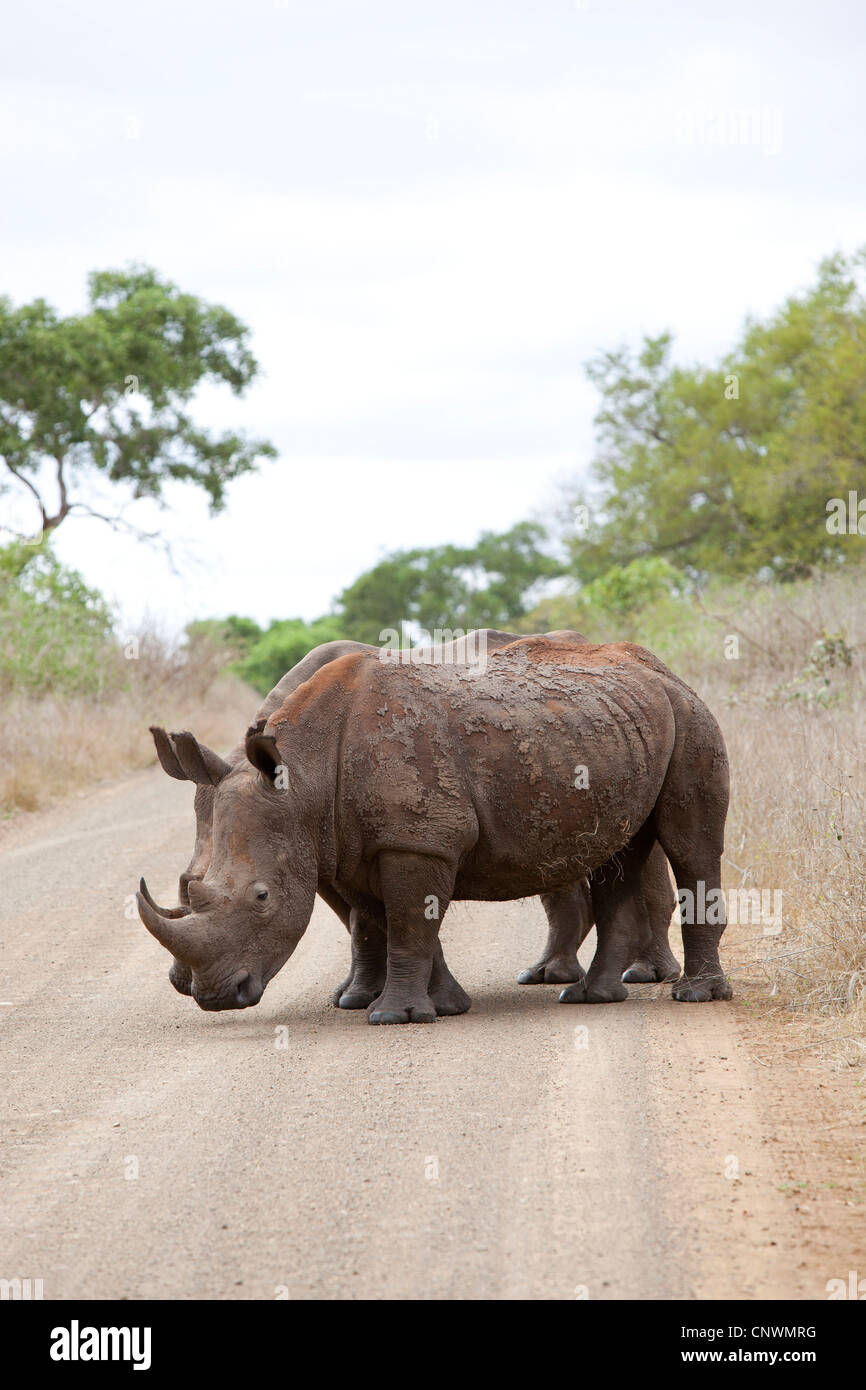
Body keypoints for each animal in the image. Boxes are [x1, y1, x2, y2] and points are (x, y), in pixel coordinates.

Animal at [137, 635, 731, 1021]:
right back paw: (591, 997)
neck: (304, 778)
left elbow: (405, 923)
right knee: (619, 853)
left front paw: (391, 1017)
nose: (214, 995)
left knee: (690, 848)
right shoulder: (359, 845)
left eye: (261, 897)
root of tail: (664, 670)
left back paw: (691, 996)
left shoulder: (417, 841)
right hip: (612, 732)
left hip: (689, 716)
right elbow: (388, 922)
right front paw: (441, 1006)